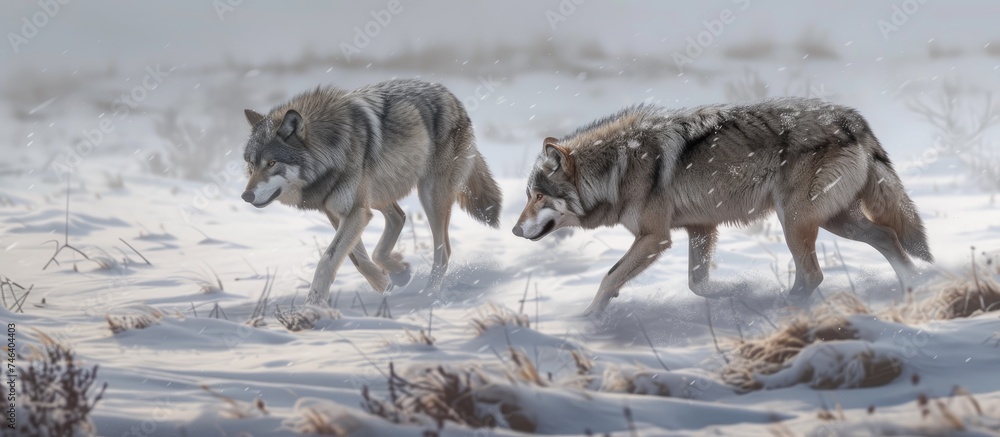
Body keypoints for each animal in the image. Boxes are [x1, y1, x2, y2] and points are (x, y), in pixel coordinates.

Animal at [241, 79, 503, 306]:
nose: (246, 196)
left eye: (271, 163)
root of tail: (450, 95)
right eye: (251, 165)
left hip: (428, 194)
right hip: (377, 195)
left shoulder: (355, 212)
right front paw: (386, 284)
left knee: (443, 252)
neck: (330, 147)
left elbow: (327, 260)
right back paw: (399, 272)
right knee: (399, 219)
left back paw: (426, 296)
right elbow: (358, 260)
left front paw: (312, 307)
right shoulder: (338, 213)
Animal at [512, 98, 932, 315]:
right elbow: (696, 283)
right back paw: (914, 289)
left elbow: (609, 277)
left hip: (796, 220)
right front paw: (736, 290)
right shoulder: (700, 228)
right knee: (887, 237)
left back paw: (781, 307)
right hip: (834, 221)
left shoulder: (655, 237)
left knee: (813, 274)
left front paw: (589, 321)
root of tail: (852, 119)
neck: (619, 166)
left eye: (537, 196)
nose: (514, 230)